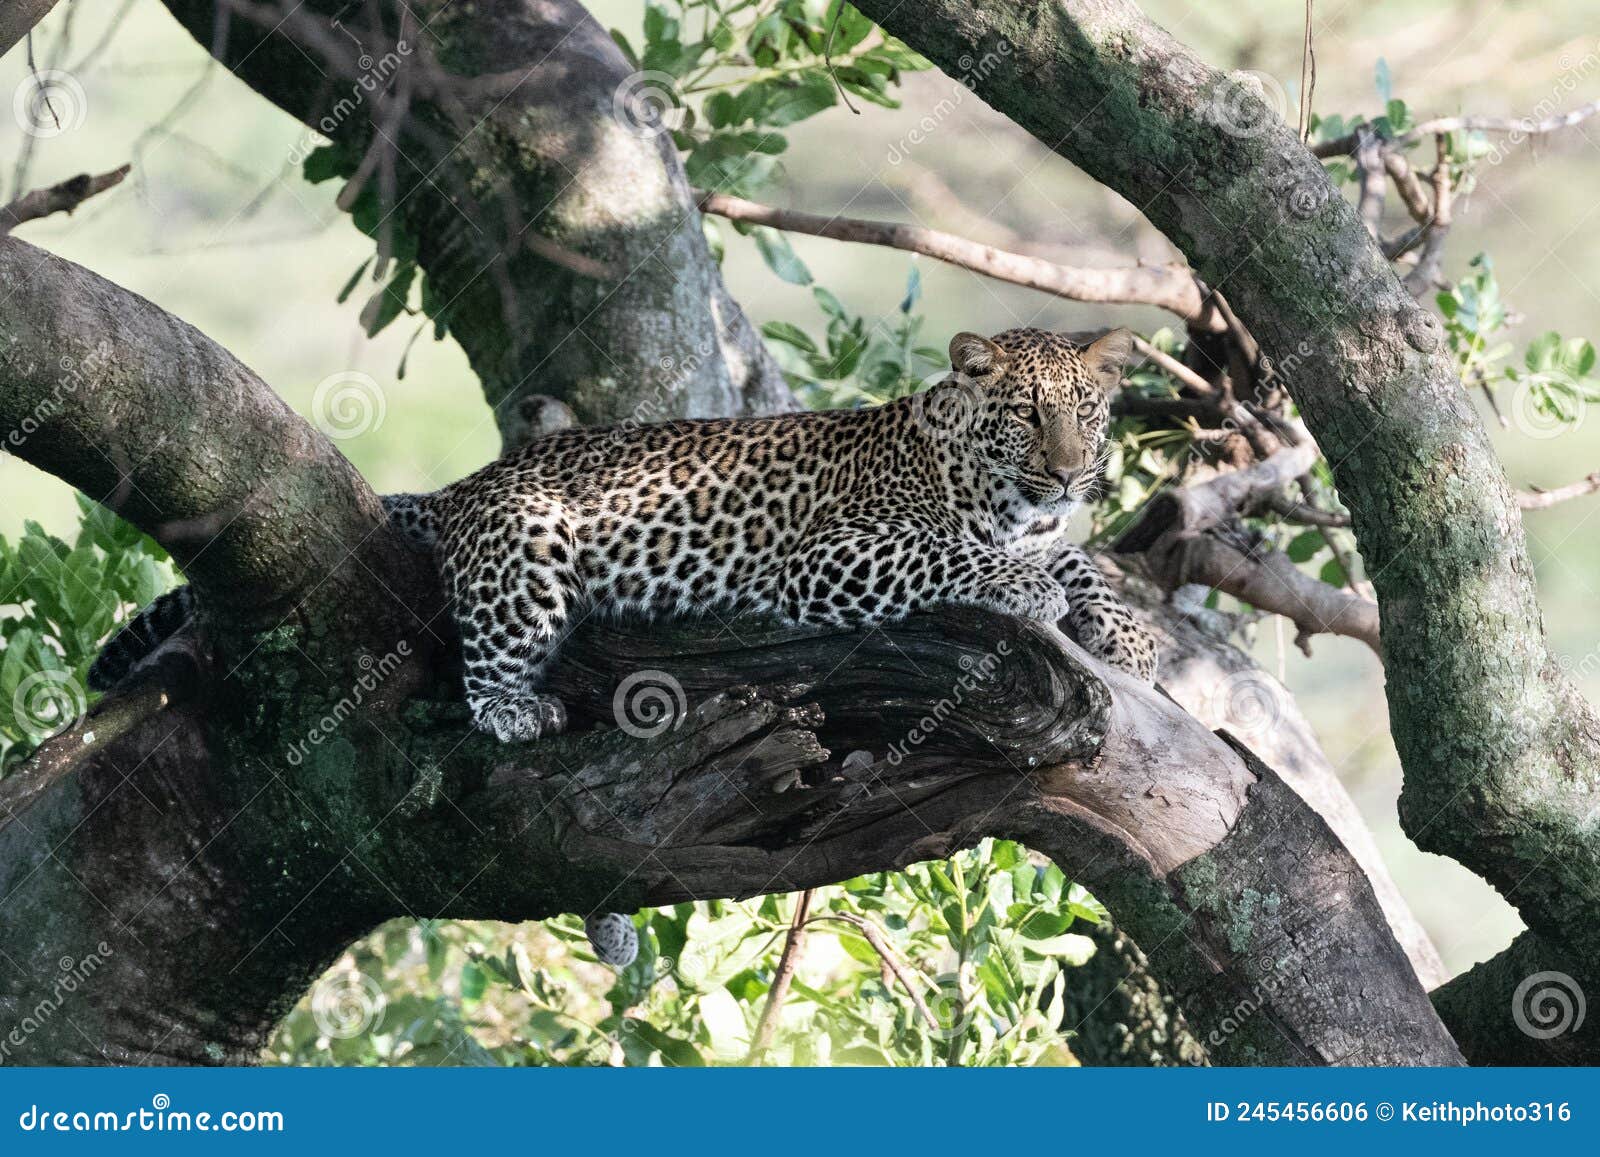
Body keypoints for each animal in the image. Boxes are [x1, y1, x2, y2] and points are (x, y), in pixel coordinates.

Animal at [89, 326, 1159, 968]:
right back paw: (518, 709)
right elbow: (948, 553)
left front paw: (1131, 635)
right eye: (1026, 414)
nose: (1074, 474)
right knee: (491, 685)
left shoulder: (1046, 529)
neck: (997, 491)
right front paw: (1029, 588)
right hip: (528, 549)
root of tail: (470, 483)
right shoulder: (829, 557)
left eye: (1088, 413)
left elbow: (1081, 560)